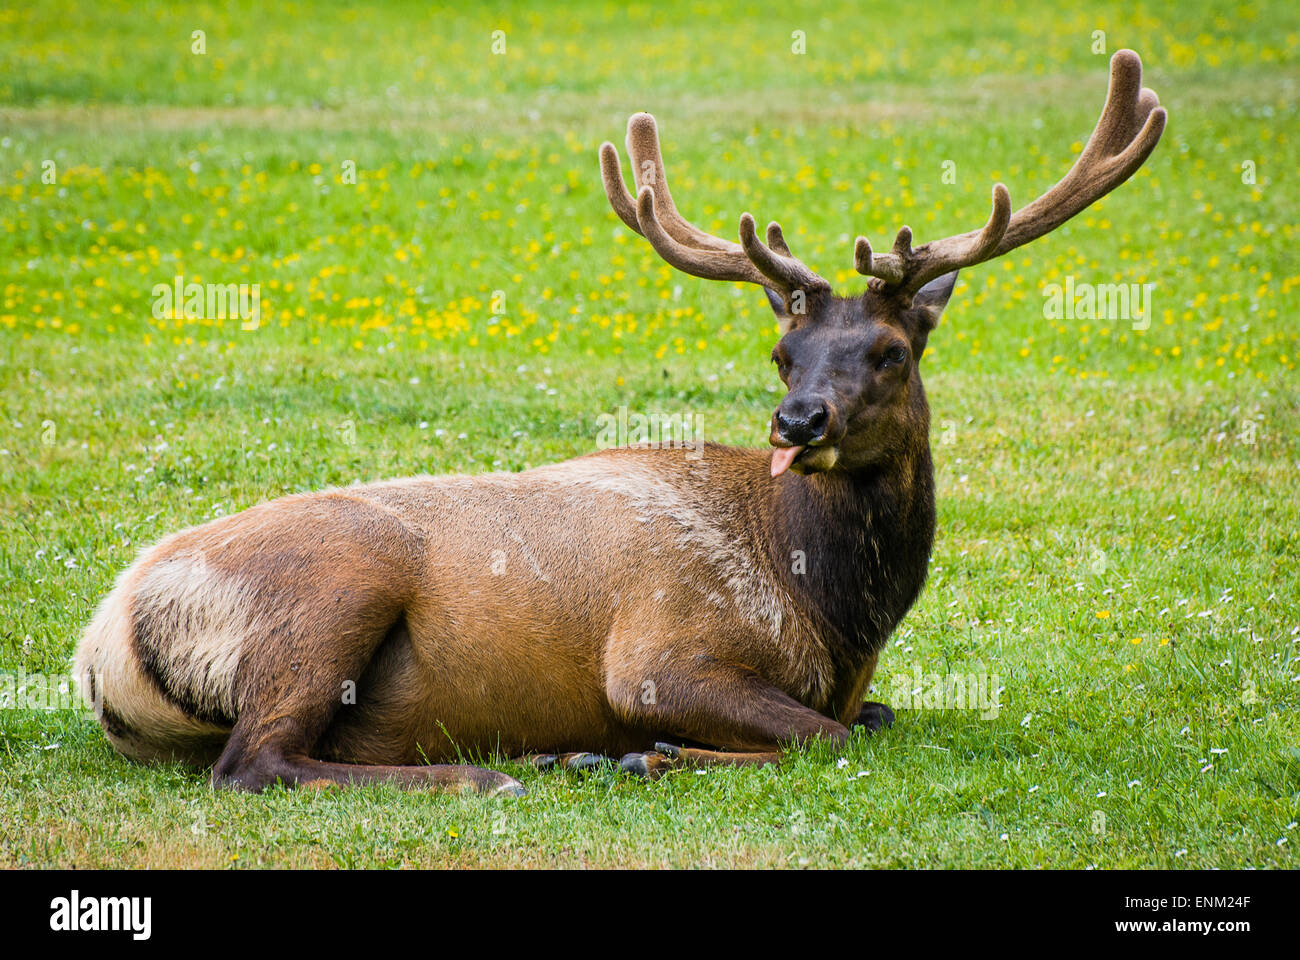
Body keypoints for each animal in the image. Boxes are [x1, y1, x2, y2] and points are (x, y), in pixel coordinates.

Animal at [74, 51, 1165, 795]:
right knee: (255, 762)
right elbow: (828, 736)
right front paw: (647, 754)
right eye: (782, 354)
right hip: (337, 585)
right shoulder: (658, 653)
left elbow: (874, 722)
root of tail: (102, 646)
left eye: (892, 352)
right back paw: (491, 772)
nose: (797, 421)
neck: (833, 617)